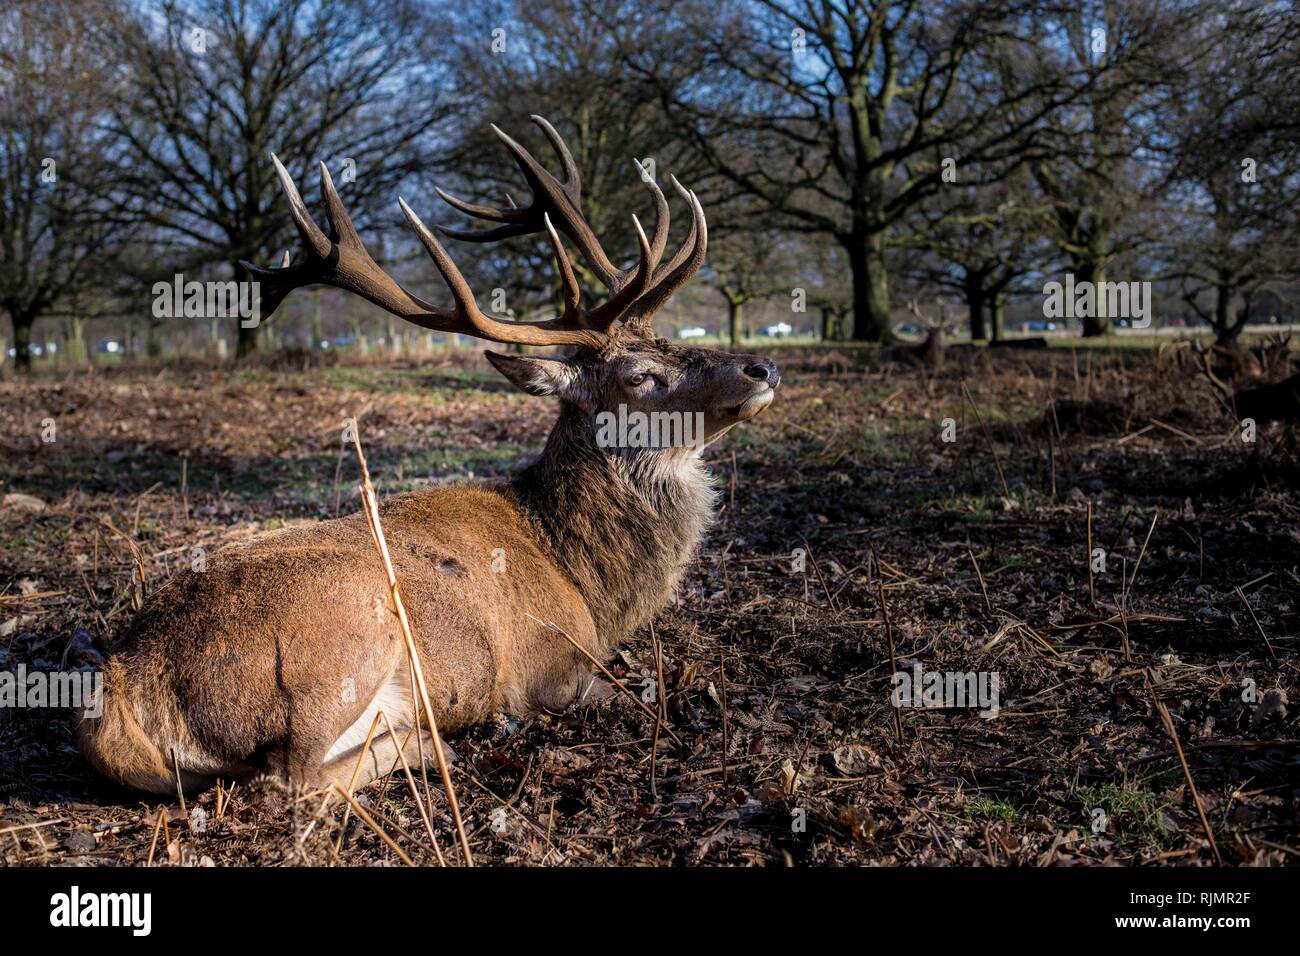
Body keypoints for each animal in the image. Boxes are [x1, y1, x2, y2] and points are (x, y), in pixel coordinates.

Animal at [75, 116, 780, 796]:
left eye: (671, 339)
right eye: (638, 376)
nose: (763, 367)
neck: (585, 580)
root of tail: (123, 691)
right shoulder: (556, 664)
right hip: (339, 646)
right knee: (289, 779)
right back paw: (431, 740)